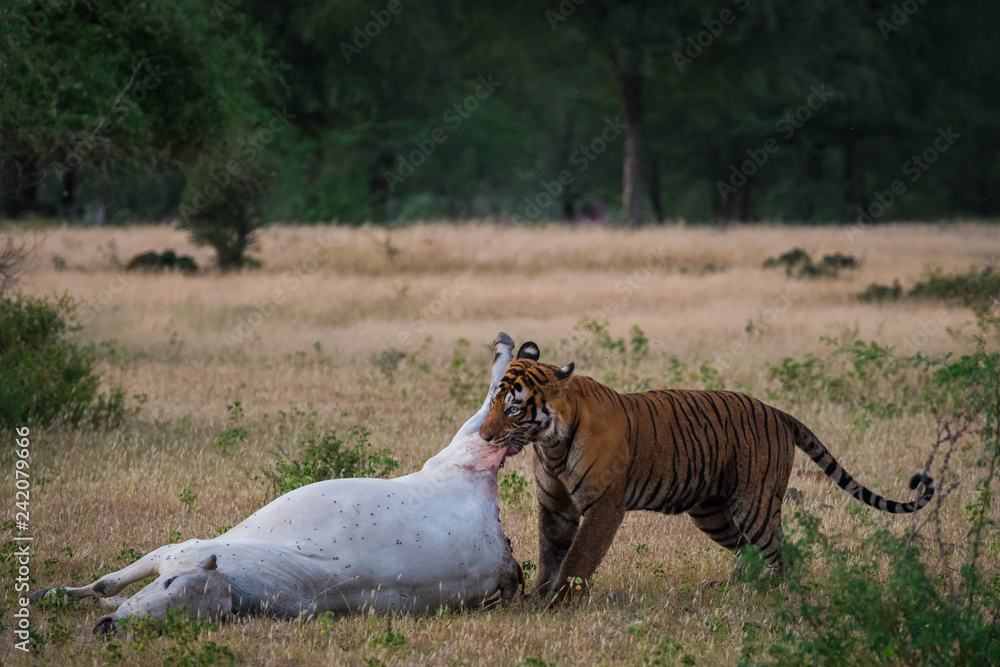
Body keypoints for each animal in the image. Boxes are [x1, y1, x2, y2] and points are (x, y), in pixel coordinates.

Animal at [32, 333, 523, 633]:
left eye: (182, 613)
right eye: (168, 591)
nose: (110, 630)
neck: (238, 584)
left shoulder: (175, 549)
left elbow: (105, 585)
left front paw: (51, 595)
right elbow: (106, 588)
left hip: (463, 444)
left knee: (489, 398)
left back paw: (508, 348)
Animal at [479, 342, 934, 600]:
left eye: (513, 407)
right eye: (493, 400)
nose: (483, 435)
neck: (550, 444)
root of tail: (780, 413)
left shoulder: (604, 504)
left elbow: (578, 557)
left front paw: (560, 601)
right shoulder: (556, 505)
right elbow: (550, 552)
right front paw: (539, 597)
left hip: (755, 503)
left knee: (779, 553)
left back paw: (771, 595)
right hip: (713, 512)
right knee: (748, 551)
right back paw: (734, 588)